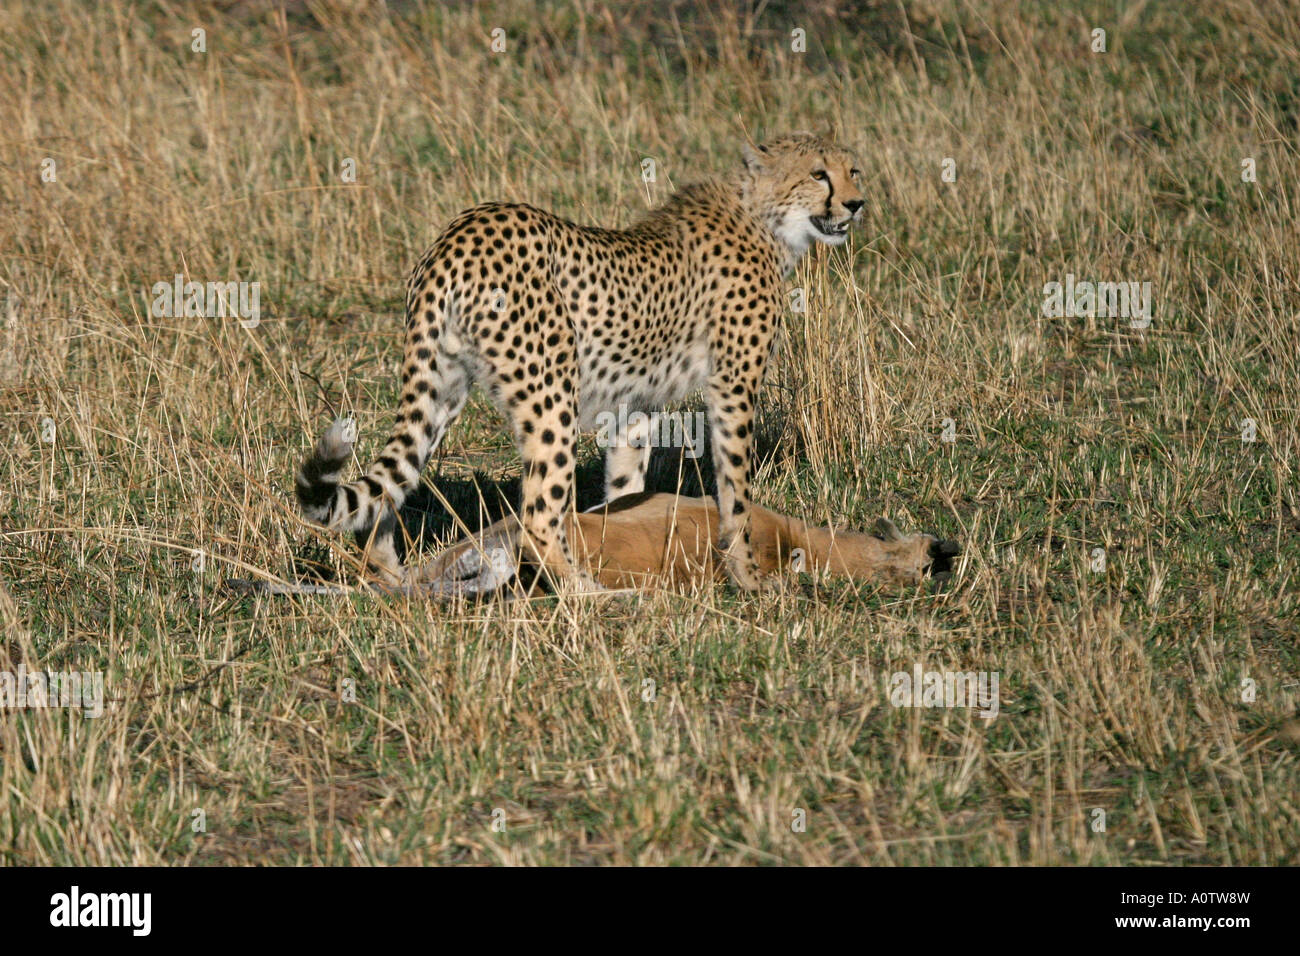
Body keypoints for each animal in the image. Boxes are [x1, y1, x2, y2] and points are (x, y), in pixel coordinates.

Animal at [295, 132, 866, 592]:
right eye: (818, 173)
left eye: (852, 169)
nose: (856, 204)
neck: (763, 218)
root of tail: (459, 234)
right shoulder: (733, 387)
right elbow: (737, 493)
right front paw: (748, 577)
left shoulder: (634, 403)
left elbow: (625, 485)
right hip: (549, 394)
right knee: (537, 513)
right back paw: (585, 594)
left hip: (441, 385)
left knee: (390, 486)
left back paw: (392, 578)